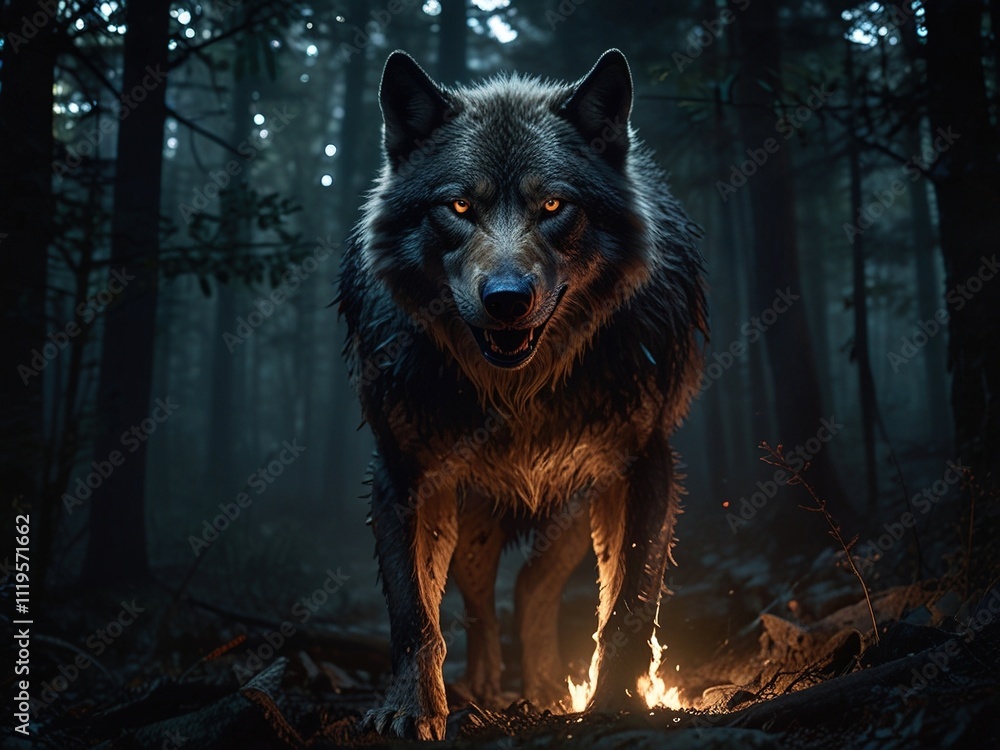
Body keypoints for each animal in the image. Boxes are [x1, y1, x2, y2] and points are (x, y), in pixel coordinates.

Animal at [339, 49, 707, 740]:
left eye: (554, 205)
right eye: (459, 207)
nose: (507, 299)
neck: (517, 394)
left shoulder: (645, 462)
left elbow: (629, 605)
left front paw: (618, 703)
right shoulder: (403, 474)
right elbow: (414, 617)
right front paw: (410, 709)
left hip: (570, 517)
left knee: (532, 592)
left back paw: (544, 684)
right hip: (473, 527)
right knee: (482, 601)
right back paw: (487, 684)